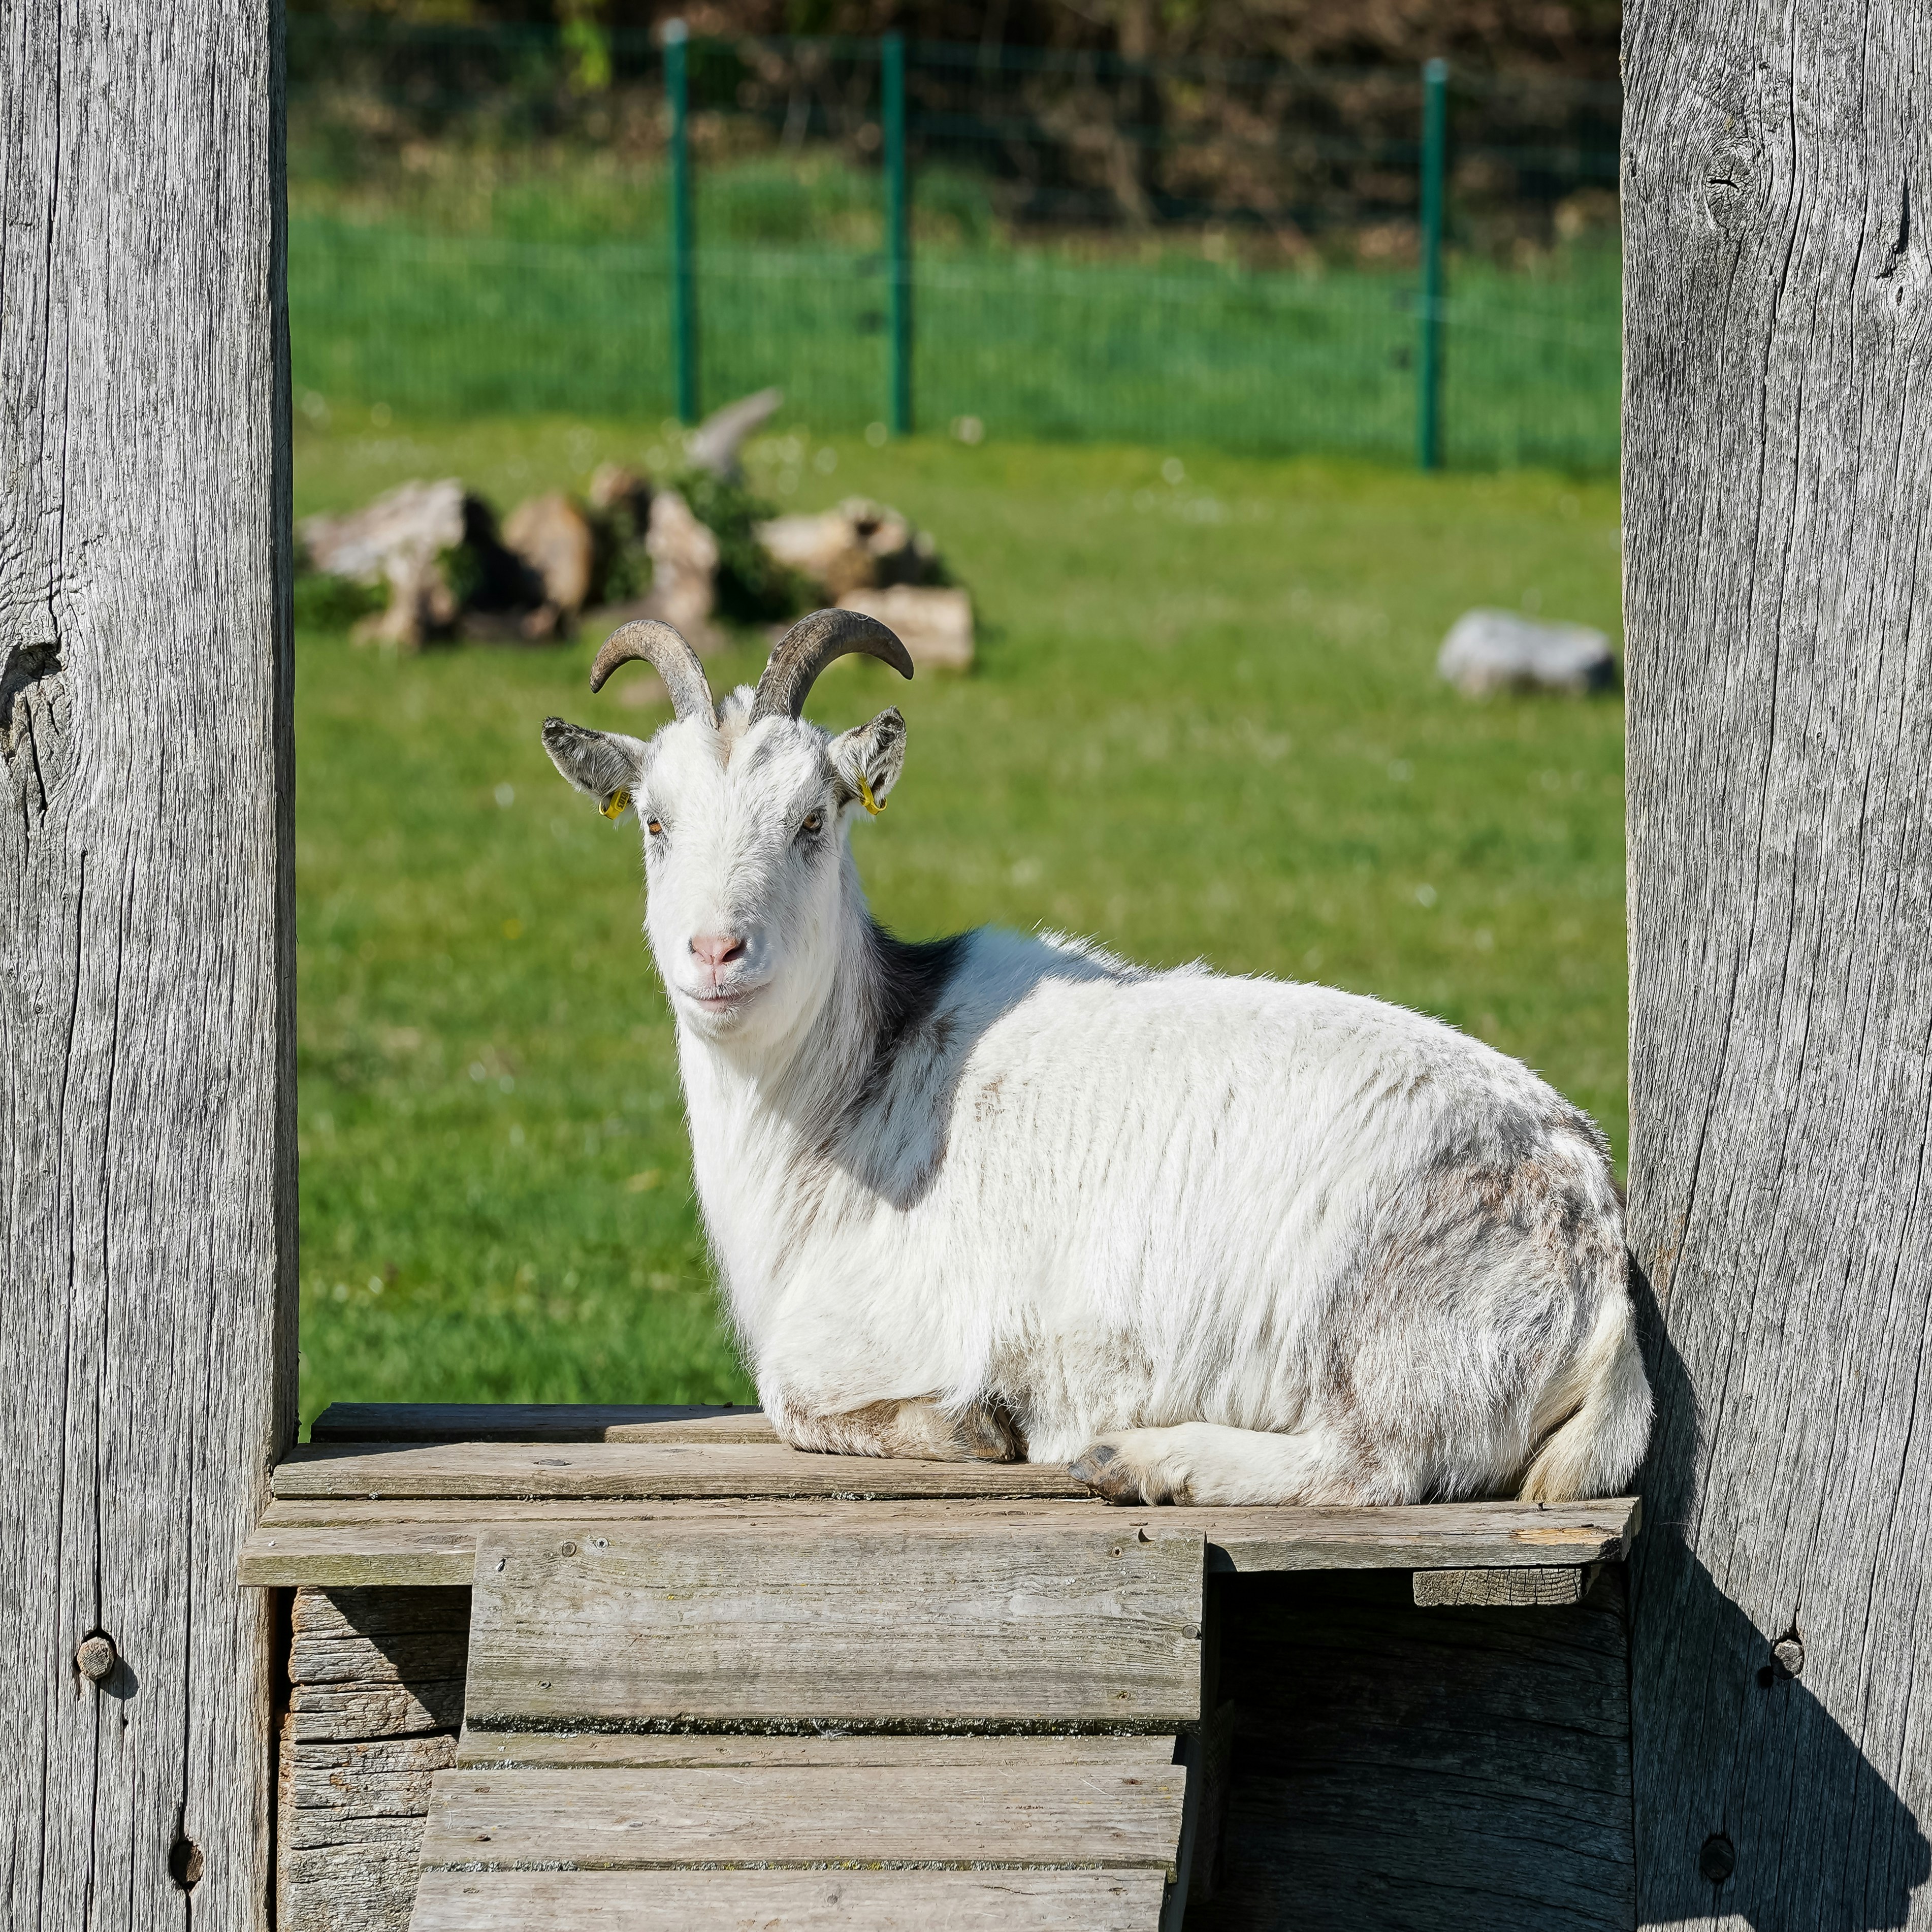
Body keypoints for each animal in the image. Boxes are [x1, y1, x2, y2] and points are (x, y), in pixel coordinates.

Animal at [542, 613, 1651, 1506]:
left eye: (813, 819)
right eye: (654, 823)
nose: (716, 952)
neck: (855, 1093)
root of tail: (1593, 1235)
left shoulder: (877, 1332)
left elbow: (789, 1401)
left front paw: (976, 1425)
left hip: (1391, 1324)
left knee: (1370, 1464)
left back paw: (1139, 1460)